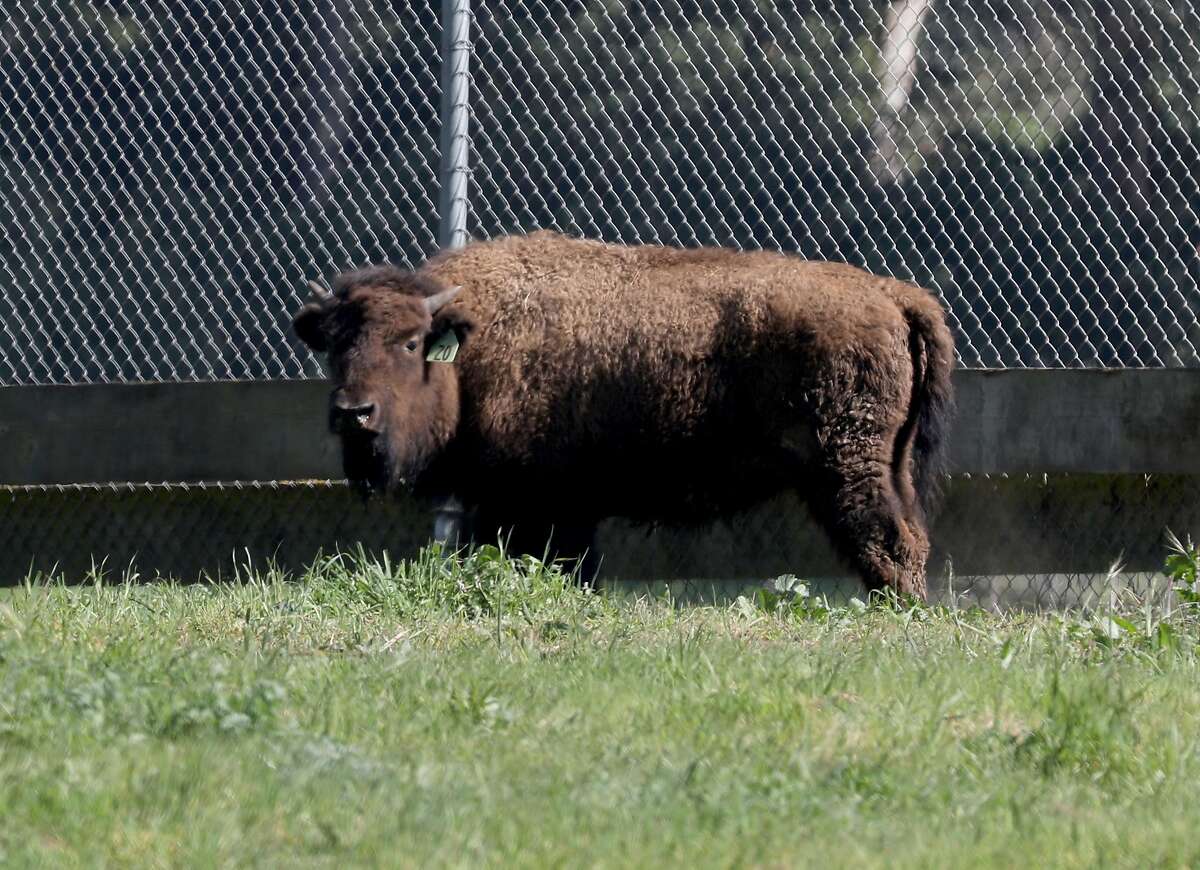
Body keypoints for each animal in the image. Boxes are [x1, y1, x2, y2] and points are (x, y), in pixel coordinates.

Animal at [293, 230, 954, 599]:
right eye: (335, 345)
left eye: (409, 343)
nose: (354, 413)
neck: (470, 341)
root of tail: (893, 294)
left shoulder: (538, 501)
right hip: (886, 463)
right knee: (908, 538)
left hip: (847, 465)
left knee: (888, 541)